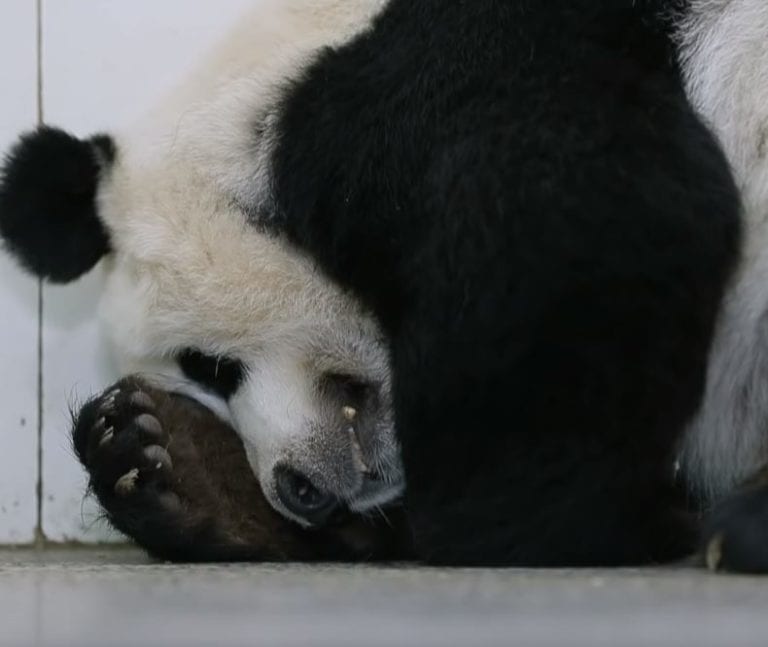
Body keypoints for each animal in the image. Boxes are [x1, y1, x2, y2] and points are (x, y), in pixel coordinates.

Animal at [1, 0, 768, 570]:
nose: (298, 489)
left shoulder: (441, 80)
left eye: (209, 365)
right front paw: (179, 465)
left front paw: (538, 520)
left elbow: (594, 212)